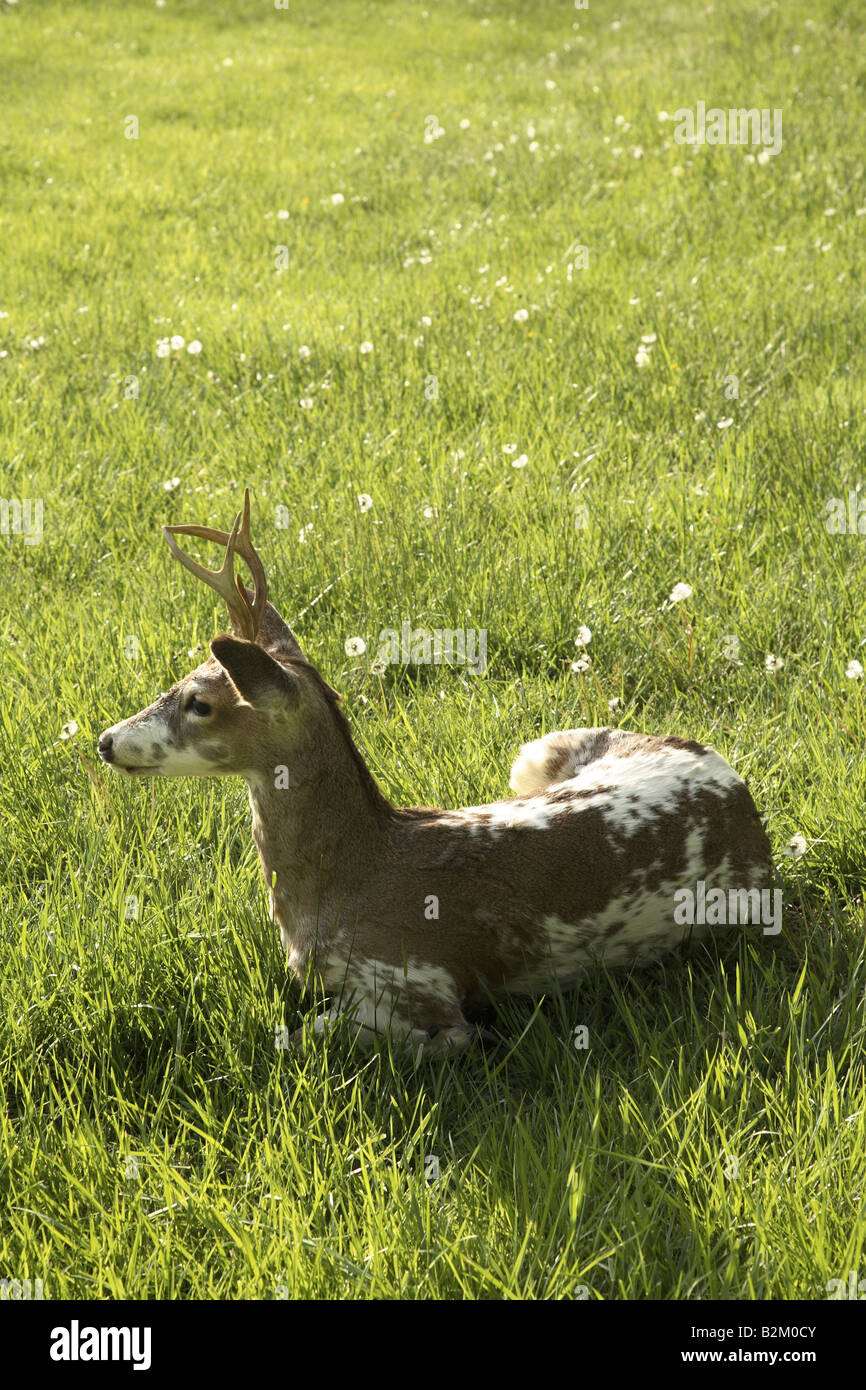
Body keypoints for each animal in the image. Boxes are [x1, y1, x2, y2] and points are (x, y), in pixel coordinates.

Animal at [98, 490, 773, 1054]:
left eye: (200, 702)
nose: (105, 741)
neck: (343, 885)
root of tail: (731, 778)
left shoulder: (420, 985)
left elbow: (306, 1035)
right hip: (536, 753)